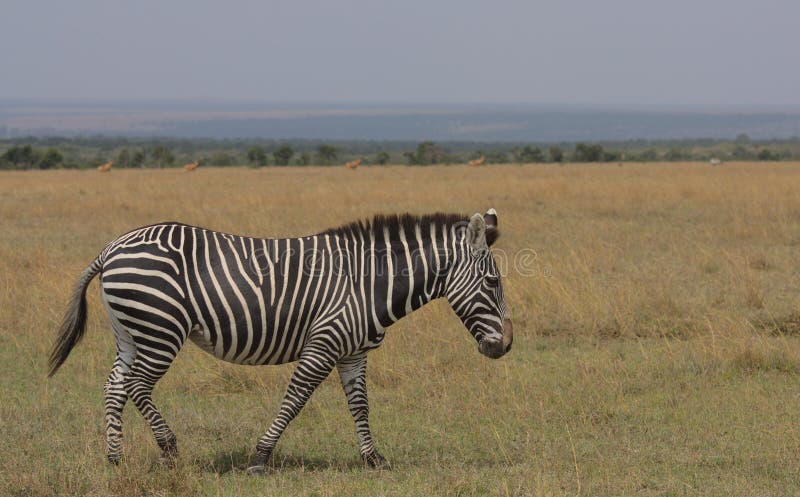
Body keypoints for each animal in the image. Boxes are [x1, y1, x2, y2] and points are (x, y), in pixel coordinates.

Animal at [48, 209, 513, 474]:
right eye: (493, 282)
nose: (505, 347)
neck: (367, 284)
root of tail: (111, 248)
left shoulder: (353, 353)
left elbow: (360, 406)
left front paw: (373, 459)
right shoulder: (324, 343)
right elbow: (295, 400)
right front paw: (260, 458)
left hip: (131, 333)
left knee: (114, 387)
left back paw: (114, 460)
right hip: (161, 330)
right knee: (136, 386)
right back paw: (169, 451)